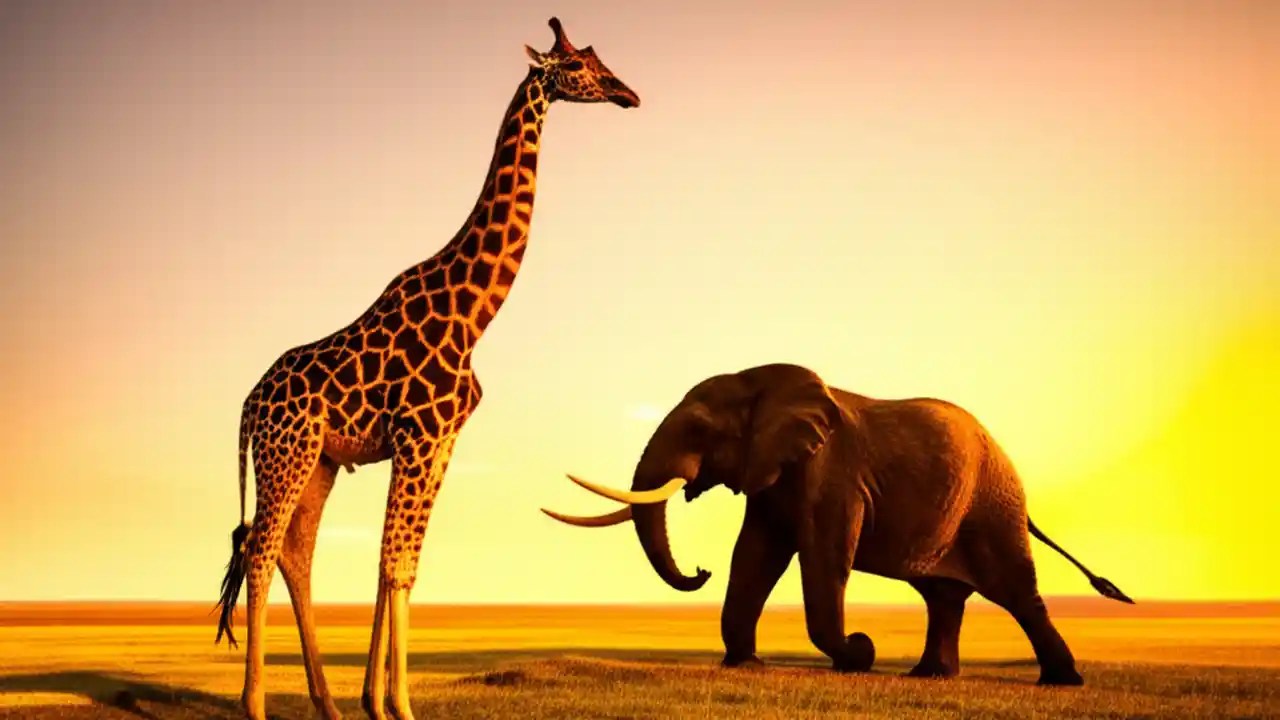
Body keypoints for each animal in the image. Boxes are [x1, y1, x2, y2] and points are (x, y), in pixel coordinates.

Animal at [212, 18, 640, 720]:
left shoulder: (441, 441)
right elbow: (394, 564)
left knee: (296, 556)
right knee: (259, 550)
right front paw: (397, 704)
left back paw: (326, 702)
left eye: (599, 60)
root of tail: (249, 404)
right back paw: (254, 704)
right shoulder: (419, 435)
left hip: (319, 461)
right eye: (578, 66)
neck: (475, 314)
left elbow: (401, 565)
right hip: (286, 455)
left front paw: (375, 700)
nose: (628, 94)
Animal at [542, 363, 1133, 685]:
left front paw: (858, 655)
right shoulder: (774, 474)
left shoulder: (833, 474)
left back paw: (1063, 682)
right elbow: (753, 555)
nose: (697, 572)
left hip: (992, 505)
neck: (761, 381)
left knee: (1015, 591)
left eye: (700, 430)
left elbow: (822, 554)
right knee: (942, 596)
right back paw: (930, 676)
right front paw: (746, 665)